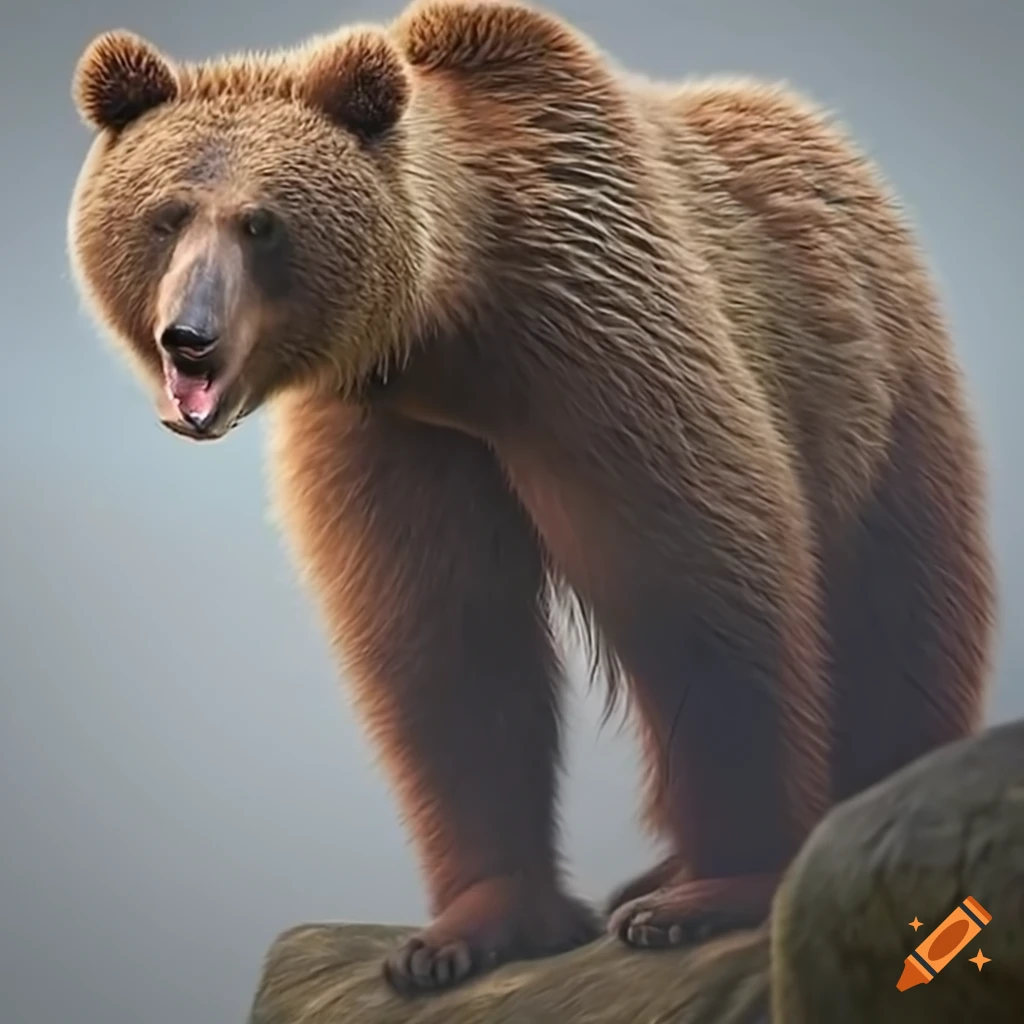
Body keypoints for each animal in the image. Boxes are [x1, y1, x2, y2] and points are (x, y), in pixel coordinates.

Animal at [67, 0, 997, 998]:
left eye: (262, 224)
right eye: (165, 216)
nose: (189, 337)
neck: (449, 322)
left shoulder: (600, 340)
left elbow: (699, 583)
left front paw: (712, 891)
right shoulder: (395, 431)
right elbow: (443, 641)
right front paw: (464, 933)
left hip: (877, 385)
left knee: (898, 611)